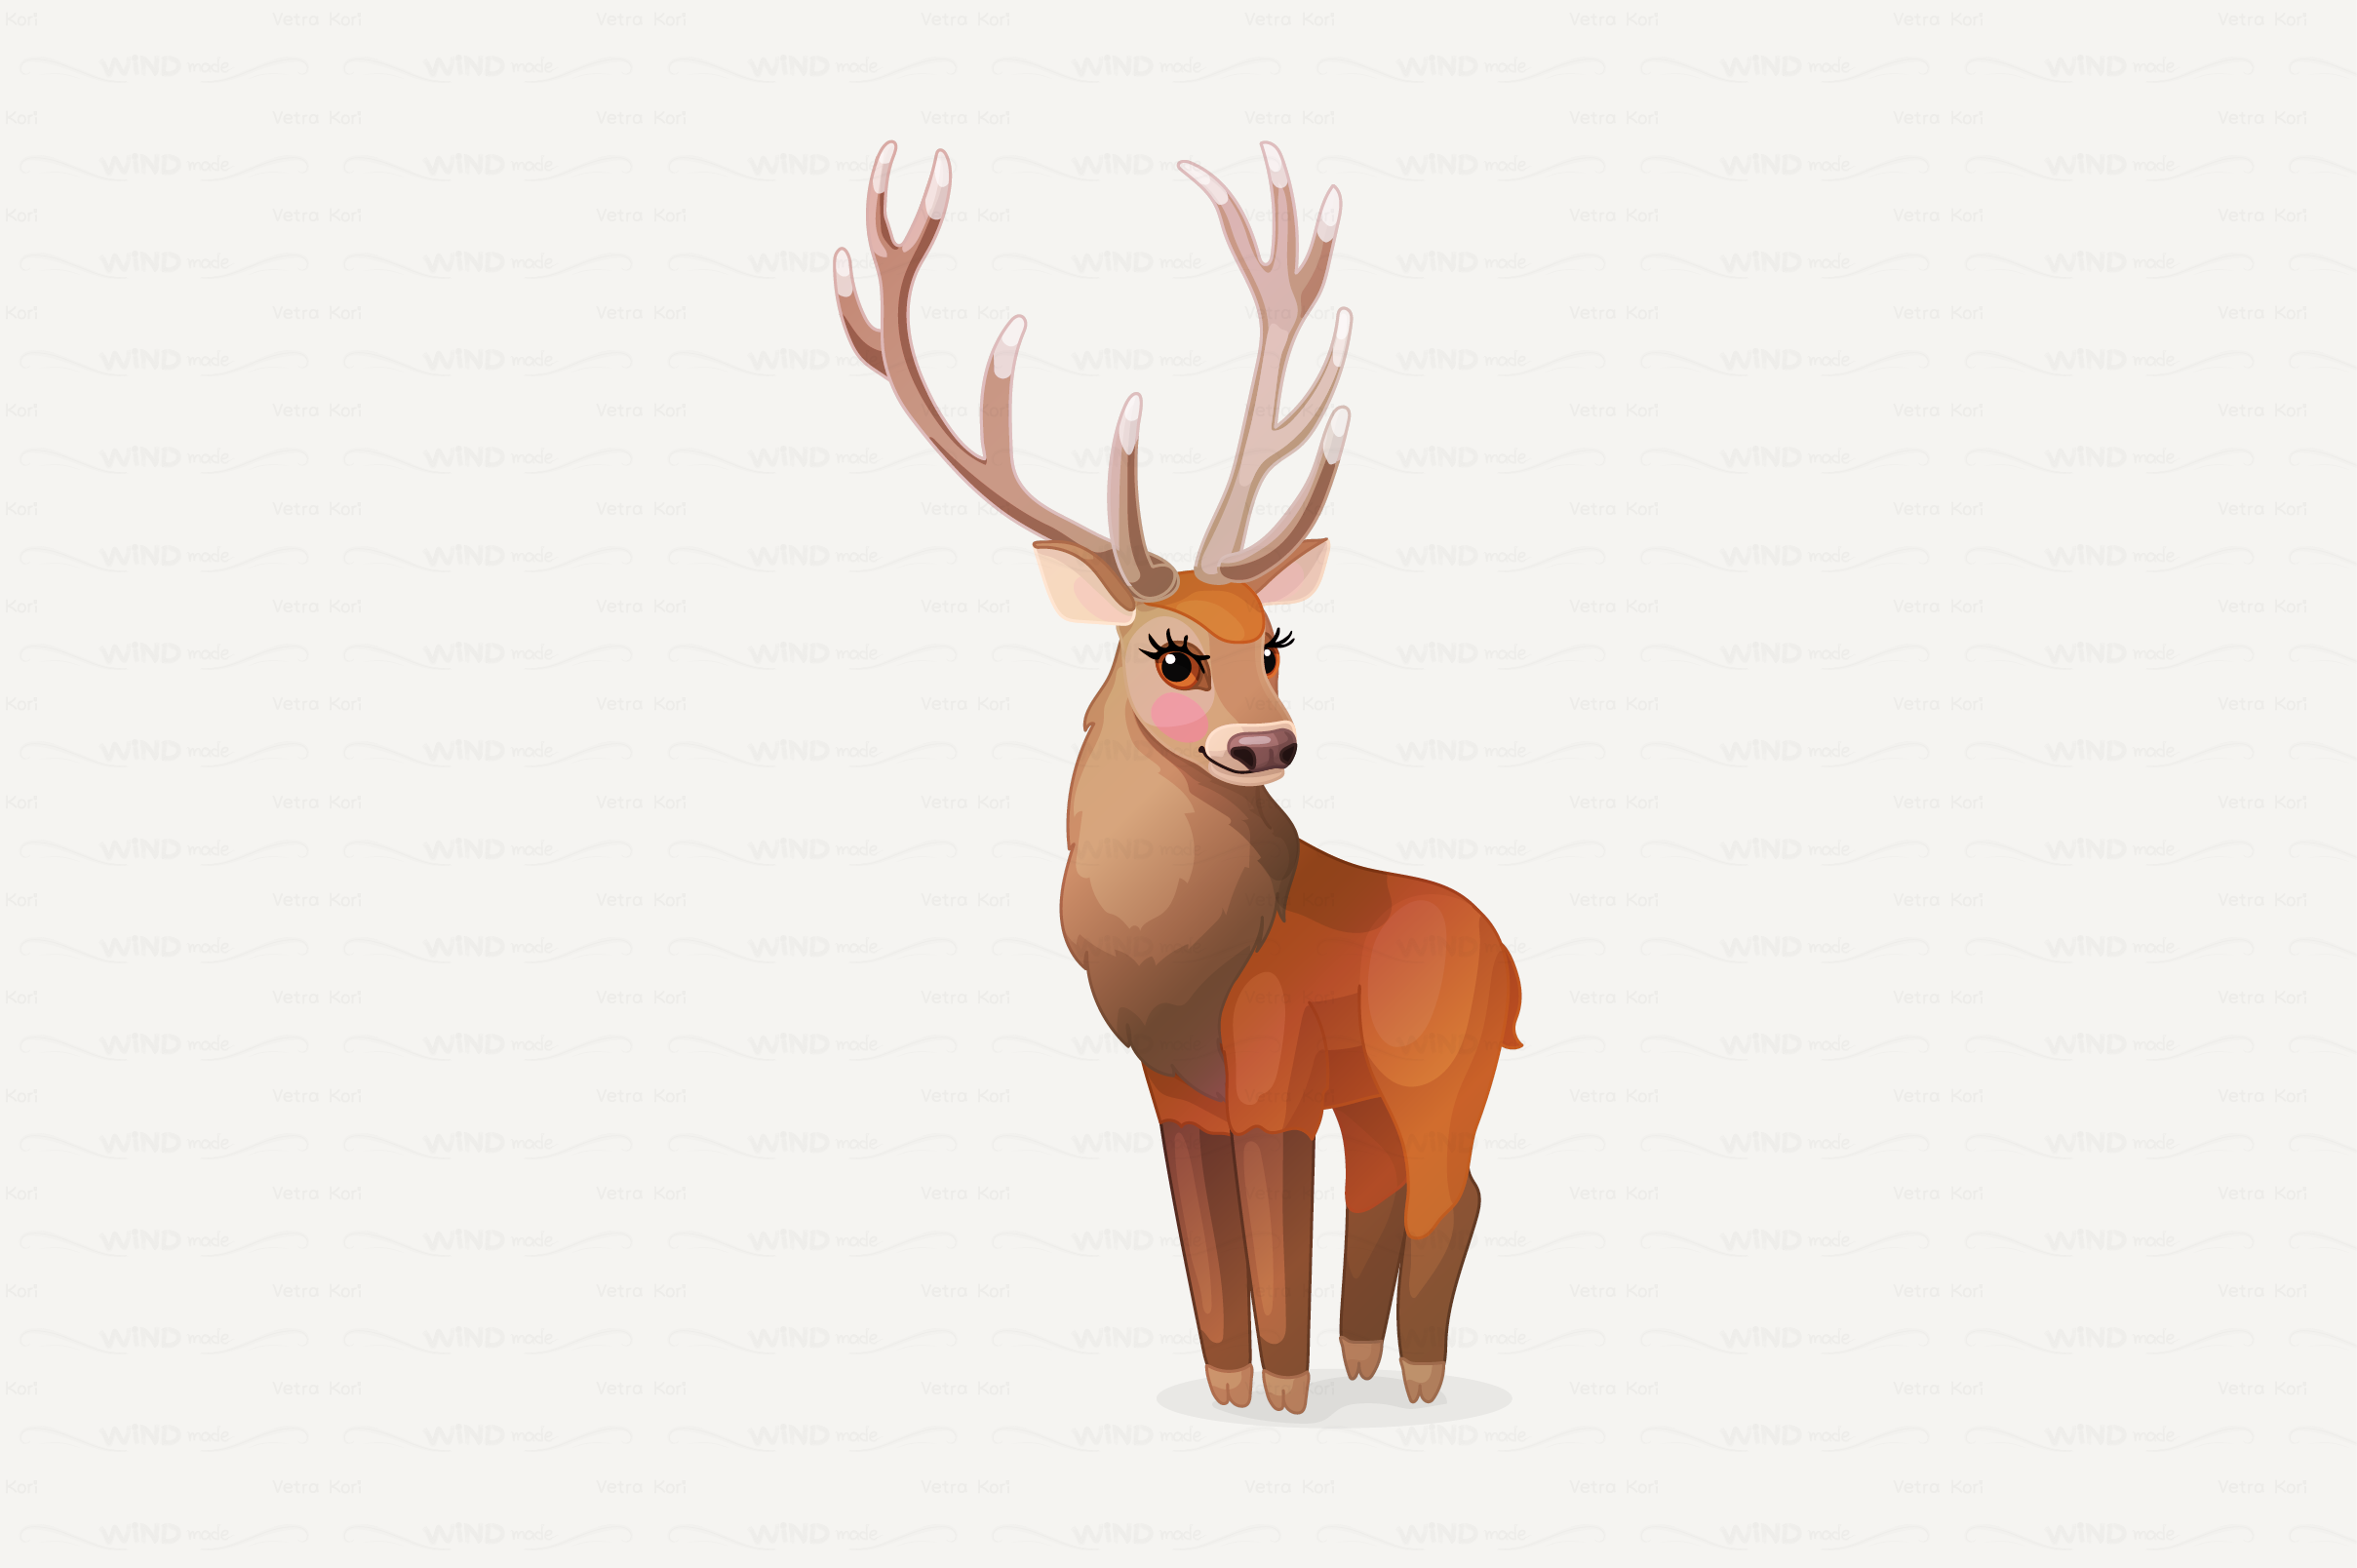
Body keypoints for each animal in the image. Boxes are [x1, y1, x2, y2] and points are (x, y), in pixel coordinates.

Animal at [832, 140, 1525, 1415]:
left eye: (1275, 641)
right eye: (1171, 652)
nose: (1267, 747)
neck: (1178, 973)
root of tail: (1511, 972)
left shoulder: (1272, 1071)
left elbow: (1275, 1244)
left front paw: (1289, 1396)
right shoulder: (1171, 1093)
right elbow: (1206, 1254)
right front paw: (1228, 1390)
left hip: (1439, 1069)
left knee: (1453, 1194)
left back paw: (1414, 1383)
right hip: (1376, 1095)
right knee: (1389, 1191)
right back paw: (1371, 1363)